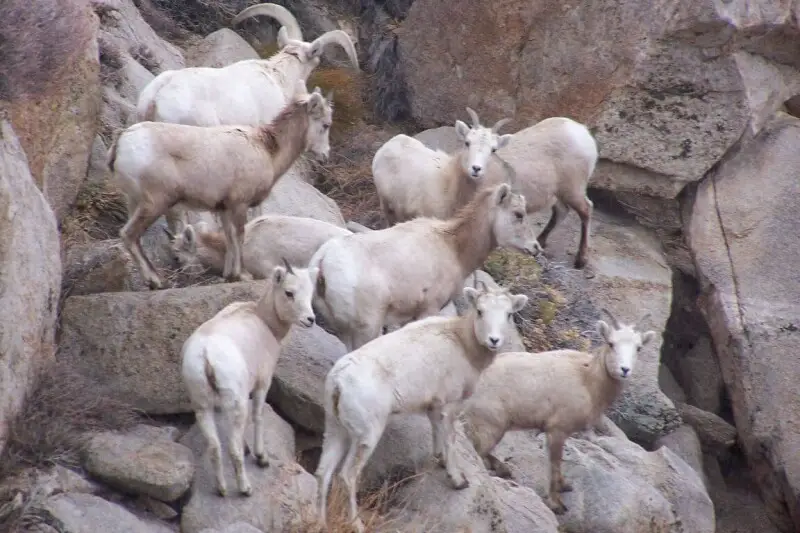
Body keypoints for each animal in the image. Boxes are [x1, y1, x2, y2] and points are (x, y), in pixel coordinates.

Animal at [181, 259, 318, 497]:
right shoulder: (262, 385)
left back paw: (222, 489)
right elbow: (258, 416)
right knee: (232, 449)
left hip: (202, 405)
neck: (263, 321)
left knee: (214, 447)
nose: (310, 320)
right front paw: (261, 457)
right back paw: (245, 488)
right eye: (289, 292)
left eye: (310, 292)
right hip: (235, 404)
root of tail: (206, 355)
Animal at [308, 183, 542, 351]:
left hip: (344, 330)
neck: (454, 248)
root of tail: (323, 261)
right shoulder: (429, 309)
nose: (536, 248)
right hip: (367, 328)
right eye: (518, 214)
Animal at [315, 283, 529, 532]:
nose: (494, 340)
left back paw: (320, 522)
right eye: (480, 311)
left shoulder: (434, 406)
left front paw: (439, 460)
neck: (462, 344)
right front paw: (458, 480)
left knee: (323, 472)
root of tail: (338, 382)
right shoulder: (450, 406)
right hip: (366, 436)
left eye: (508, 314)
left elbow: (436, 433)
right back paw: (357, 524)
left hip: (335, 429)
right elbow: (450, 440)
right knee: (347, 476)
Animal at [372, 107, 514, 226]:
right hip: (385, 203)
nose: (476, 169)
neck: (449, 182)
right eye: (467, 142)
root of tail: (393, 141)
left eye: (493, 150)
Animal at [459, 308, 657, 514]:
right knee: (478, 451)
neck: (588, 380)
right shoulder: (557, 431)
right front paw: (557, 504)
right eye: (611, 343)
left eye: (639, 347)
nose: (624, 370)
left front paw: (565, 486)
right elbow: (554, 465)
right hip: (490, 427)